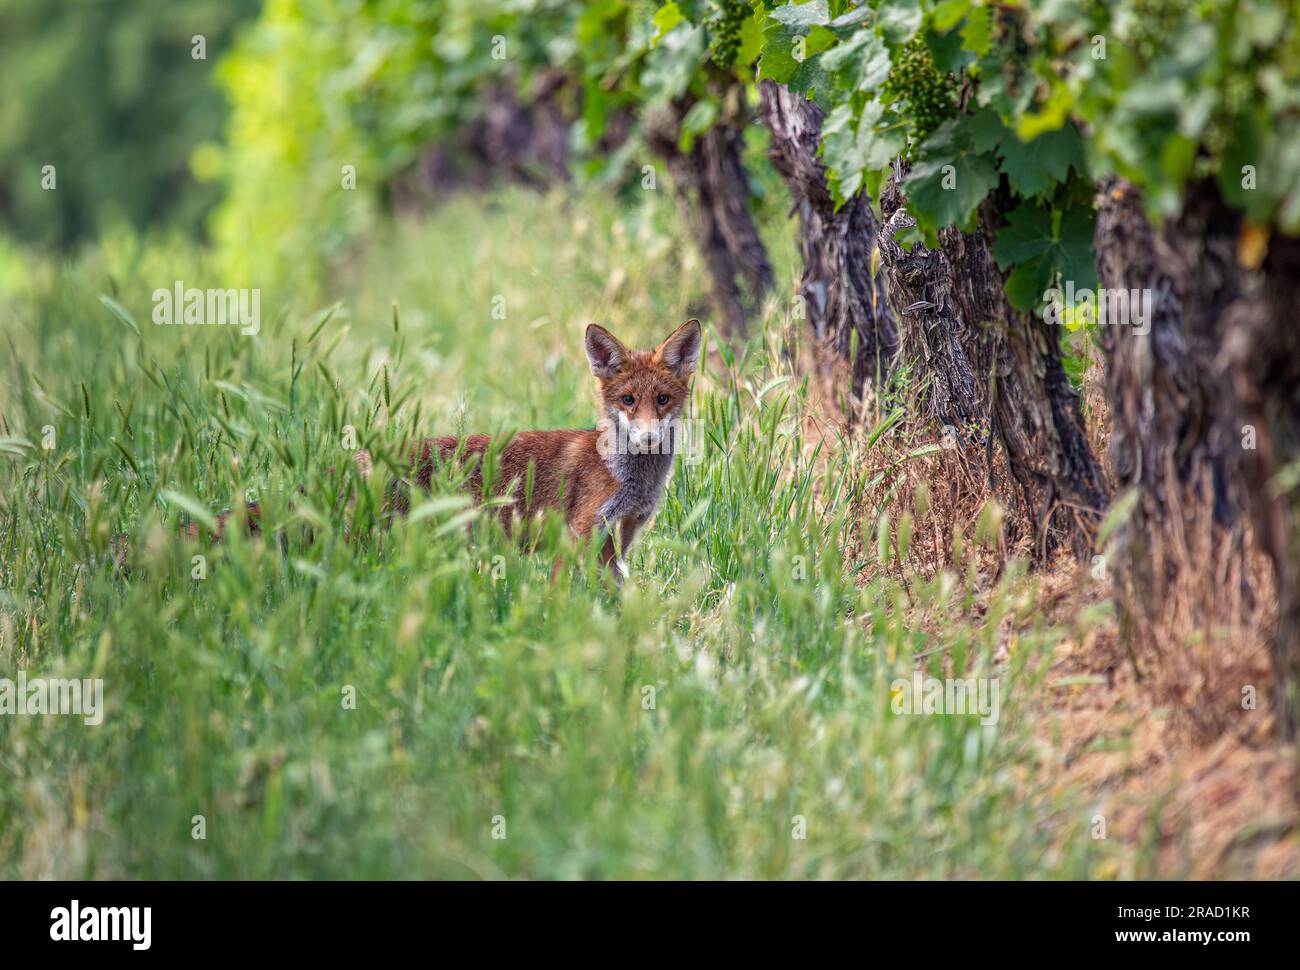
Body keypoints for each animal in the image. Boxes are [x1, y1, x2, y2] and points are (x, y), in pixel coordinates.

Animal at [142, 319, 702, 586]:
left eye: (662, 400)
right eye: (627, 401)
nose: (648, 436)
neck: (629, 477)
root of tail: (348, 462)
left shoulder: (617, 545)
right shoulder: (579, 537)